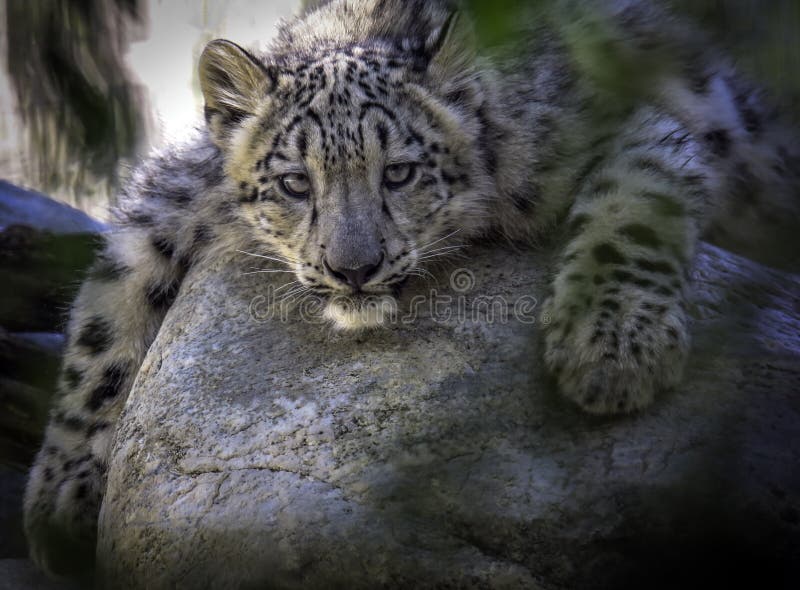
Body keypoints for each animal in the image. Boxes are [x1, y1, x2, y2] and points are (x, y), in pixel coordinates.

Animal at [23, 0, 800, 579]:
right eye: (295, 183)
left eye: (399, 172)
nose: (353, 269)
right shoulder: (176, 194)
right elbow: (106, 317)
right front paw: (62, 497)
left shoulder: (641, 120)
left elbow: (636, 202)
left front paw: (609, 351)